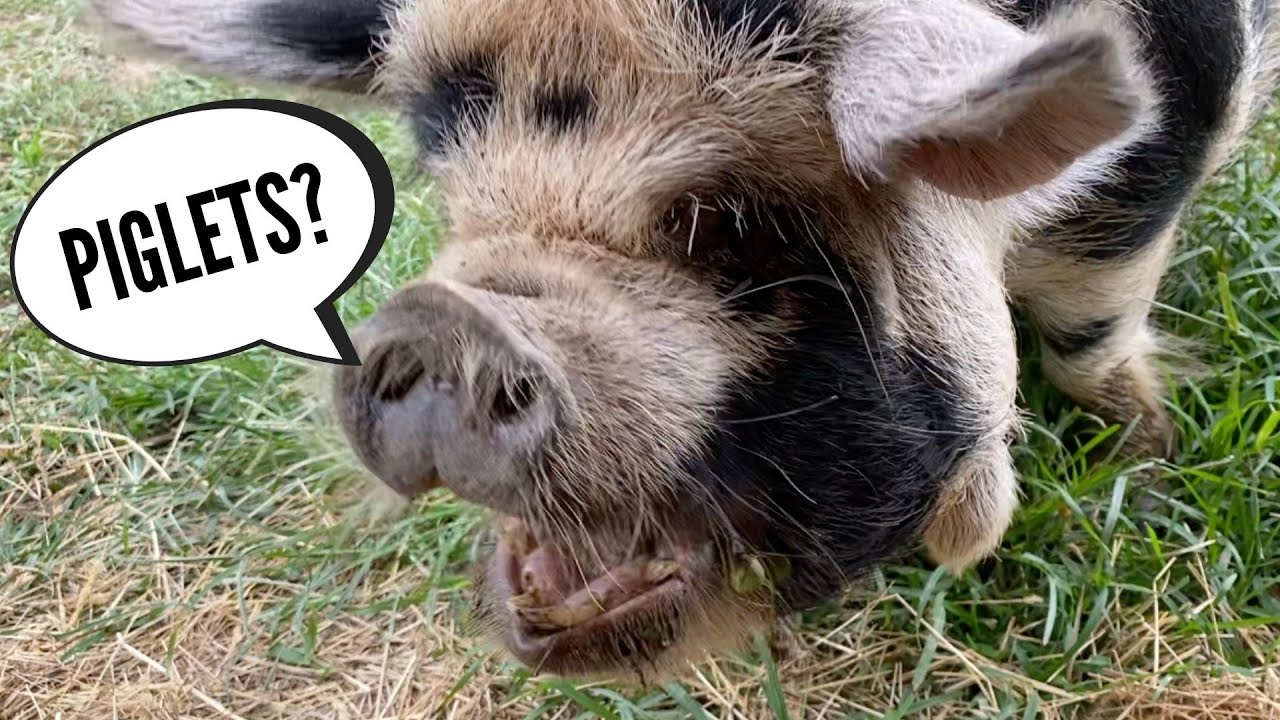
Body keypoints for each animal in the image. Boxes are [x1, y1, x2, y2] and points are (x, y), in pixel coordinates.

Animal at [89, 0, 1279, 680]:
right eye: (449, 186)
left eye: (730, 225)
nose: (441, 320)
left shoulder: (1151, 176)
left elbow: (1089, 329)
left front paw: (1148, 454)